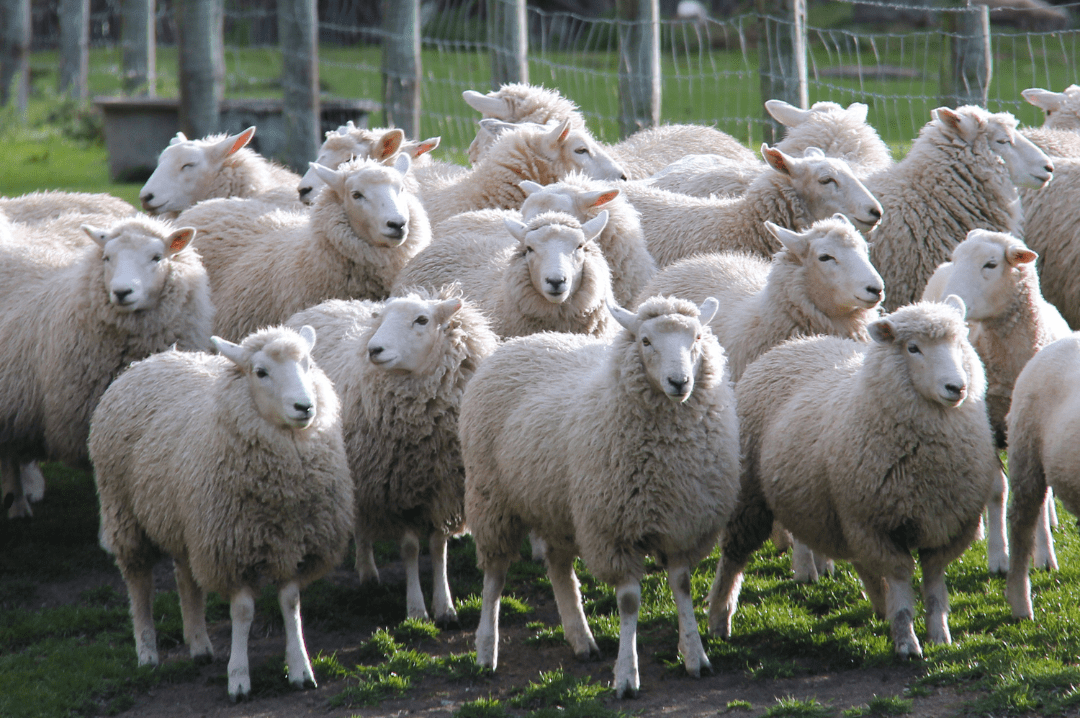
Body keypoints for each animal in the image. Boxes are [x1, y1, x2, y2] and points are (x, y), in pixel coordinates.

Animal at [88, 325, 353, 701]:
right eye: (260, 372)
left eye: (307, 363)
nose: (305, 406)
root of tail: (151, 359)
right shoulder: (232, 548)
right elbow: (242, 612)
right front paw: (238, 678)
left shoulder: (291, 543)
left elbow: (290, 603)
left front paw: (300, 669)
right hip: (124, 513)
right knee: (139, 583)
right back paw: (147, 651)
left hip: (185, 519)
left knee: (185, 576)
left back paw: (199, 644)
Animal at [286, 288, 499, 626]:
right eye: (382, 319)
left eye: (422, 320)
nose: (374, 349)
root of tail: (324, 304)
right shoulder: (398, 490)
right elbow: (410, 549)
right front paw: (416, 609)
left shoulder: (441, 489)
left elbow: (438, 547)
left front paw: (445, 606)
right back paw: (367, 572)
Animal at [461, 296, 739, 698]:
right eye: (645, 341)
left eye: (698, 337)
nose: (679, 382)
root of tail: (518, 342)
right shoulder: (614, 530)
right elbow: (628, 601)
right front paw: (626, 675)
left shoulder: (681, 523)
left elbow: (682, 585)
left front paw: (695, 656)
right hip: (491, 499)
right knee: (495, 576)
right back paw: (486, 651)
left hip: (556, 506)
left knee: (559, 567)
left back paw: (581, 639)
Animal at [707, 298, 998, 659]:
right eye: (913, 348)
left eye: (961, 344)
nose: (956, 387)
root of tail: (793, 344)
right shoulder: (876, 524)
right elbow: (900, 576)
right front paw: (906, 641)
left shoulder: (947, 525)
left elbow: (933, 583)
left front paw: (939, 635)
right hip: (752, 498)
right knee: (733, 558)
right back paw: (718, 619)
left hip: (838, 510)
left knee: (858, 558)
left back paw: (879, 603)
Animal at [925, 230, 1070, 574]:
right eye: (957, 257)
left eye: (990, 264)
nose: (947, 304)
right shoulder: (988, 423)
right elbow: (996, 489)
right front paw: (999, 556)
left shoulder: (1028, 424)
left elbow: (1037, 494)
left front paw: (1044, 555)